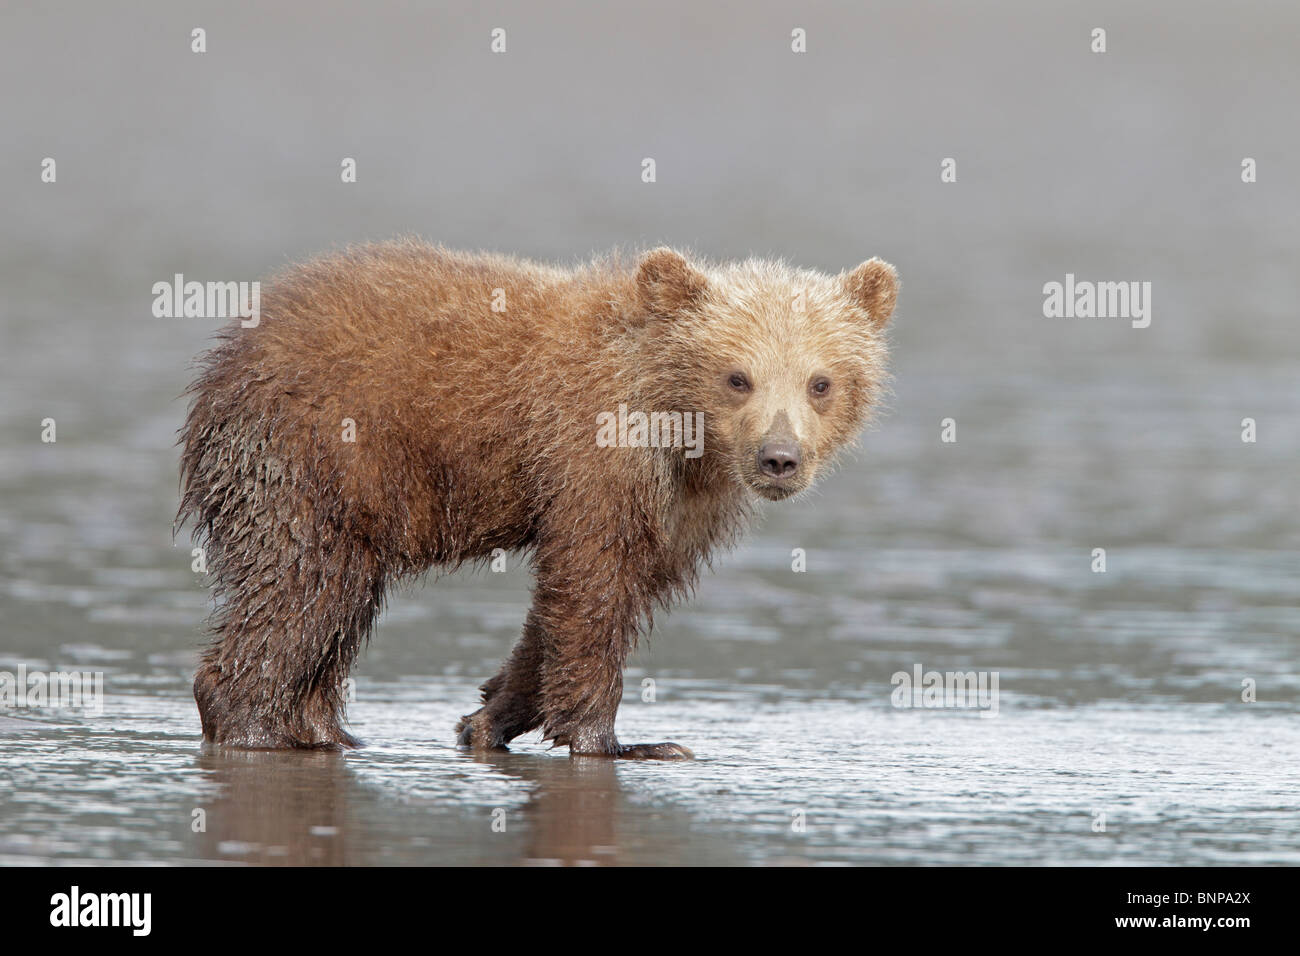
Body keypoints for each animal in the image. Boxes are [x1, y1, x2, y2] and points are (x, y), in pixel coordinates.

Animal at [178, 240, 897, 758]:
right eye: (738, 376)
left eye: (821, 381)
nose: (779, 458)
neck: (678, 434)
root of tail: (221, 362)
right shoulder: (594, 450)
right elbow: (590, 588)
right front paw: (619, 741)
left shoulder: (683, 506)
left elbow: (588, 602)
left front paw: (488, 714)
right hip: (311, 461)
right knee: (301, 588)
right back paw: (253, 724)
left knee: (336, 611)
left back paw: (329, 729)